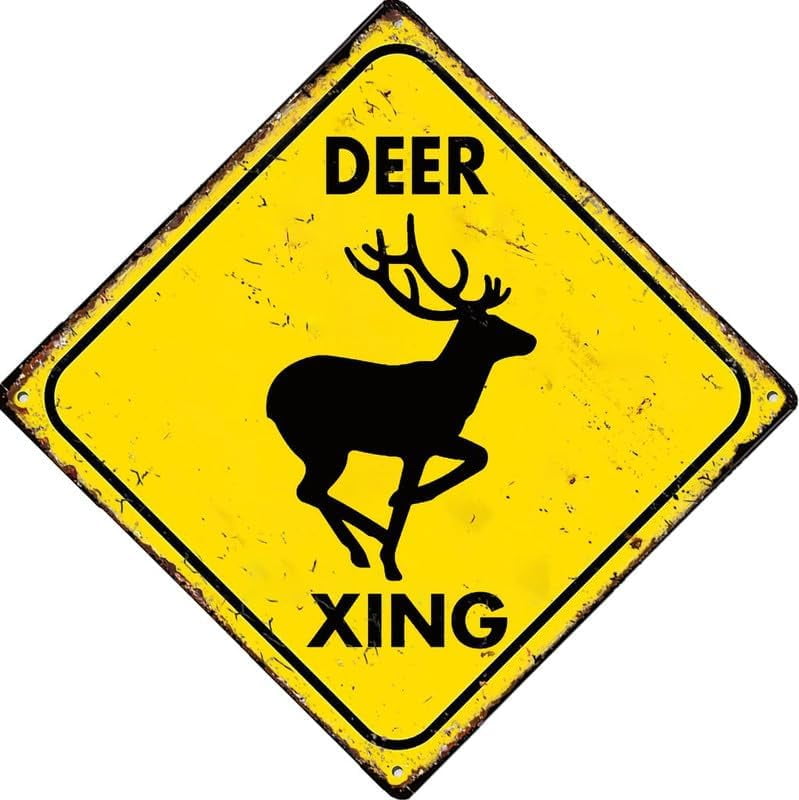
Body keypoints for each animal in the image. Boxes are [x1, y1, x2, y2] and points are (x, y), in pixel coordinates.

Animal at [267, 213, 536, 580]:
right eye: (487, 321)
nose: (530, 339)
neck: (451, 389)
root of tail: (270, 401)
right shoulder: (422, 443)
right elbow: (469, 462)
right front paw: (391, 554)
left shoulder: (430, 445)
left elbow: (478, 456)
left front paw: (390, 546)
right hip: (323, 443)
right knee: (309, 490)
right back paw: (371, 537)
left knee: (312, 491)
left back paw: (362, 549)